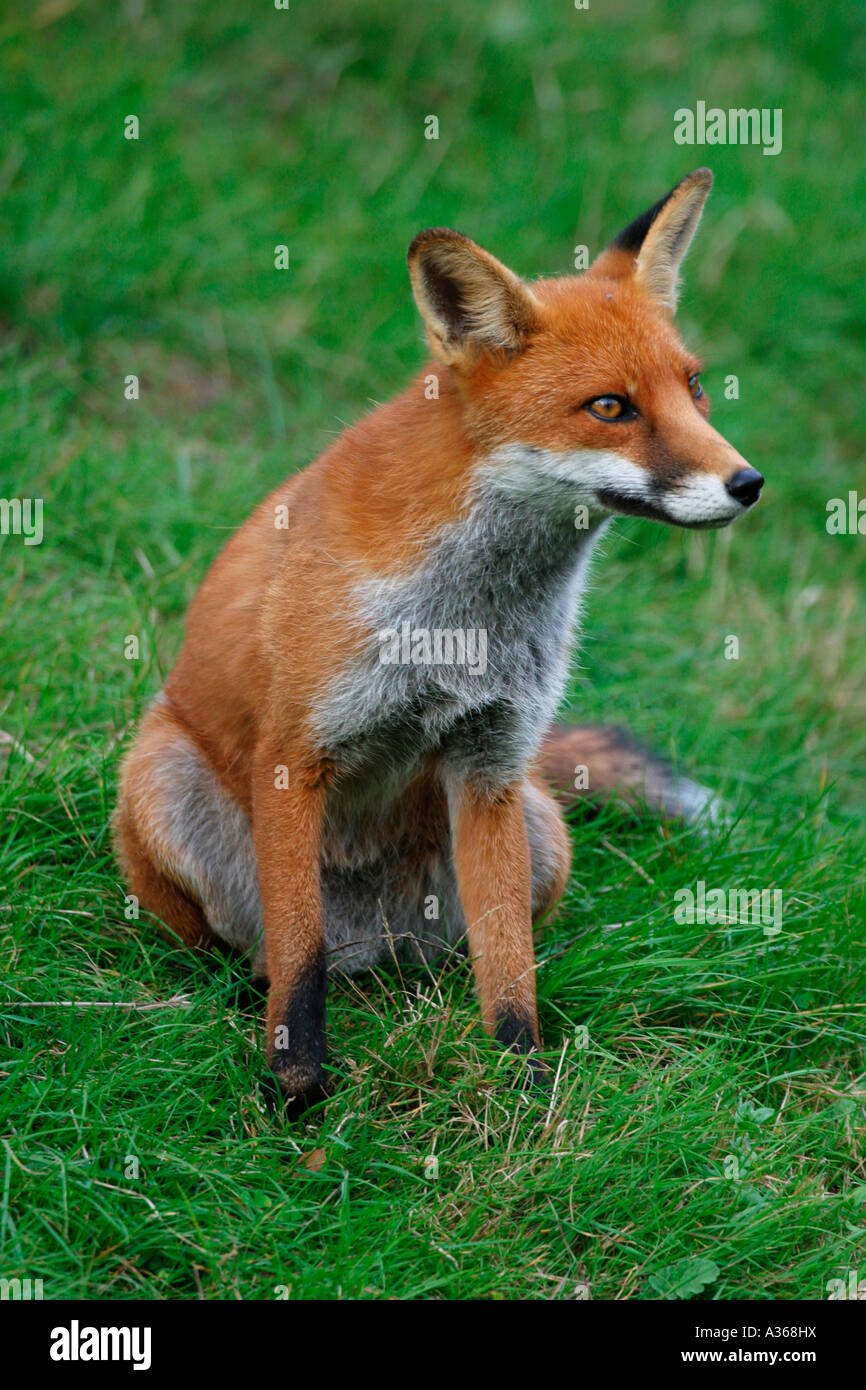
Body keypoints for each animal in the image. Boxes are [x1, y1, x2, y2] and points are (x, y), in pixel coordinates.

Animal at [114, 167, 763, 1109]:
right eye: (610, 407)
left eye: (696, 387)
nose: (748, 483)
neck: (468, 618)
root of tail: (376, 947)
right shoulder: (295, 752)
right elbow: (298, 955)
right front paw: (296, 1083)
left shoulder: (490, 762)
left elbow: (509, 969)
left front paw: (524, 1086)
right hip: (160, 781)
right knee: (264, 954)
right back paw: (230, 993)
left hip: (540, 828)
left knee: (466, 953)